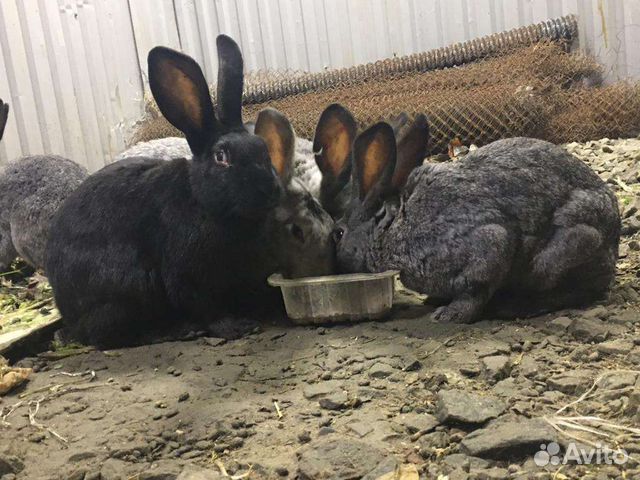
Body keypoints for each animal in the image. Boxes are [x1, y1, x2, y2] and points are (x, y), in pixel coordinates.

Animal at [45, 35, 323, 349]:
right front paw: (237, 327)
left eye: (262, 149)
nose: (268, 191)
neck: (205, 203)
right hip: (129, 286)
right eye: (221, 157)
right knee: (110, 336)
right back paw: (177, 331)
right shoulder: (184, 270)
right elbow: (201, 304)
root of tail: (68, 315)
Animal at [333, 115, 620, 324]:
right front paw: (434, 302)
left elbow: (475, 289)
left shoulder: (488, 245)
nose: (335, 261)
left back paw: (515, 307)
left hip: (566, 250)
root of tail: (613, 242)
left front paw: (448, 315)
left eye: (339, 233)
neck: (395, 225)